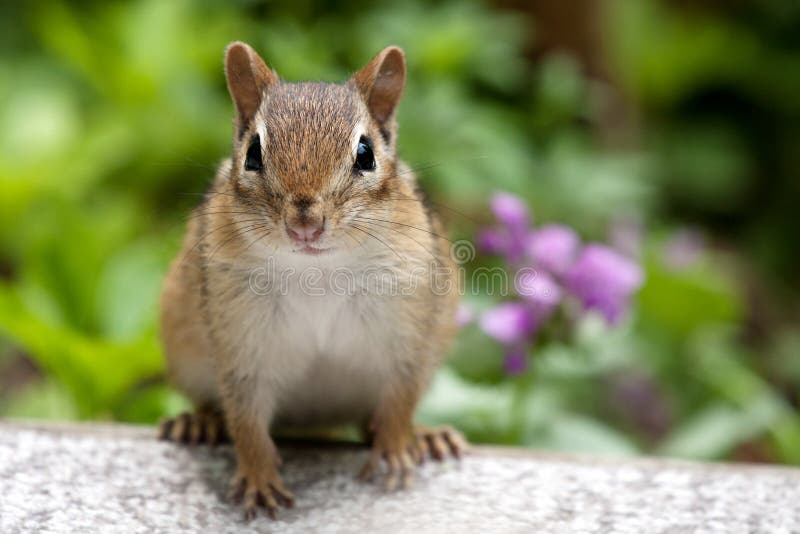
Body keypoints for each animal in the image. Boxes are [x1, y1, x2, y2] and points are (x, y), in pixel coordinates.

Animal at [158, 42, 466, 519]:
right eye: (252, 153)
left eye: (366, 154)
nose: (305, 221)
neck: (317, 272)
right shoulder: (241, 338)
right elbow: (245, 416)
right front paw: (258, 477)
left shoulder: (407, 331)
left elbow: (400, 396)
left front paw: (397, 449)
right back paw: (200, 422)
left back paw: (426, 436)